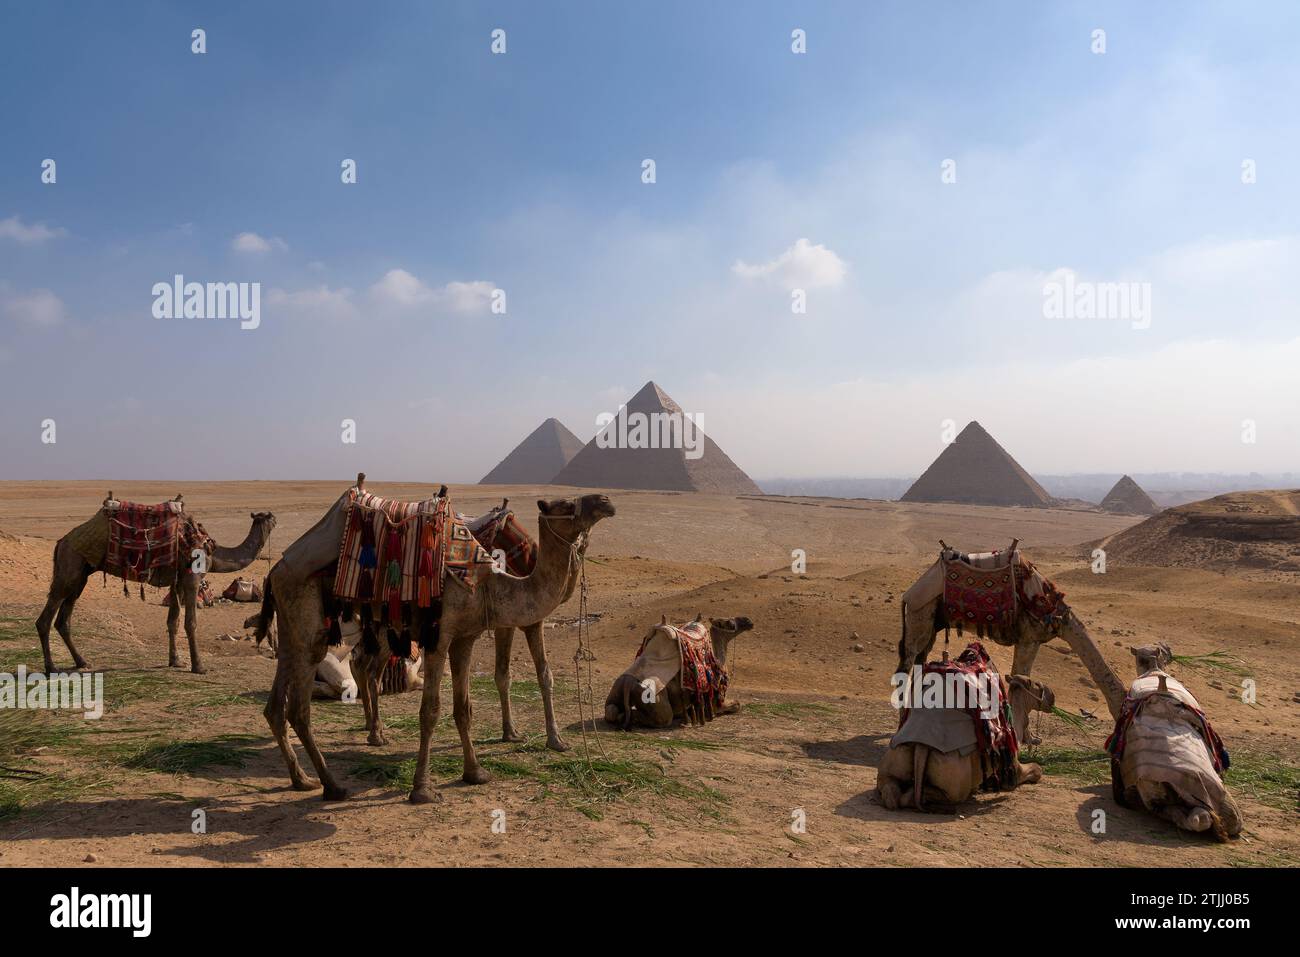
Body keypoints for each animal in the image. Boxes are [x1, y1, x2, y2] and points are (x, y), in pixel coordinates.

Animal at [36, 497, 276, 674]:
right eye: (269, 517)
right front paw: (198, 667)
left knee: (63, 620)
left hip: (80, 576)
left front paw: (175, 661)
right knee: (45, 619)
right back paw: (51, 667)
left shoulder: (176, 582)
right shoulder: (192, 578)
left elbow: (173, 621)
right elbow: (190, 622)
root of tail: (60, 542)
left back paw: (82, 662)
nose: (274, 517)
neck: (213, 552)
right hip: (69, 568)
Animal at [255, 478, 615, 801]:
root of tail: (275, 571)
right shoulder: (439, 638)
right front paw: (422, 789)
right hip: (311, 623)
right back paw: (333, 785)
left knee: (278, 704)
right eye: (565, 504)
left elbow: (464, 707)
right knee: (302, 707)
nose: (606, 500)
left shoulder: (465, 638)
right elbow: (431, 710)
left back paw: (303, 778)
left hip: (294, 627)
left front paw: (475, 773)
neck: (489, 583)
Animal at [603, 614, 753, 729]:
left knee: (611, 710)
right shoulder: (714, 700)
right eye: (729, 623)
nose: (748, 621)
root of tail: (627, 684)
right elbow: (736, 704)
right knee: (664, 718)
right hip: (652, 697)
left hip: (617, 687)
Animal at [876, 674, 1055, 811]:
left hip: (896, 757)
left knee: (890, 789)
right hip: (955, 783)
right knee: (923, 796)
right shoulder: (1013, 770)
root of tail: (921, 747)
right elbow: (1036, 770)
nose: (1052, 696)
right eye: (1038, 685)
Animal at [897, 541, 1127, 723]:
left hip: (932, 625)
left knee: (919, 661)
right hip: (920, 615)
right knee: (906, 663)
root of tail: (908, 593)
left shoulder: (1029, 640)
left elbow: (1018, 681)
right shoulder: (1029, 638)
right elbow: (1018, 682)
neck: (1056, 613)